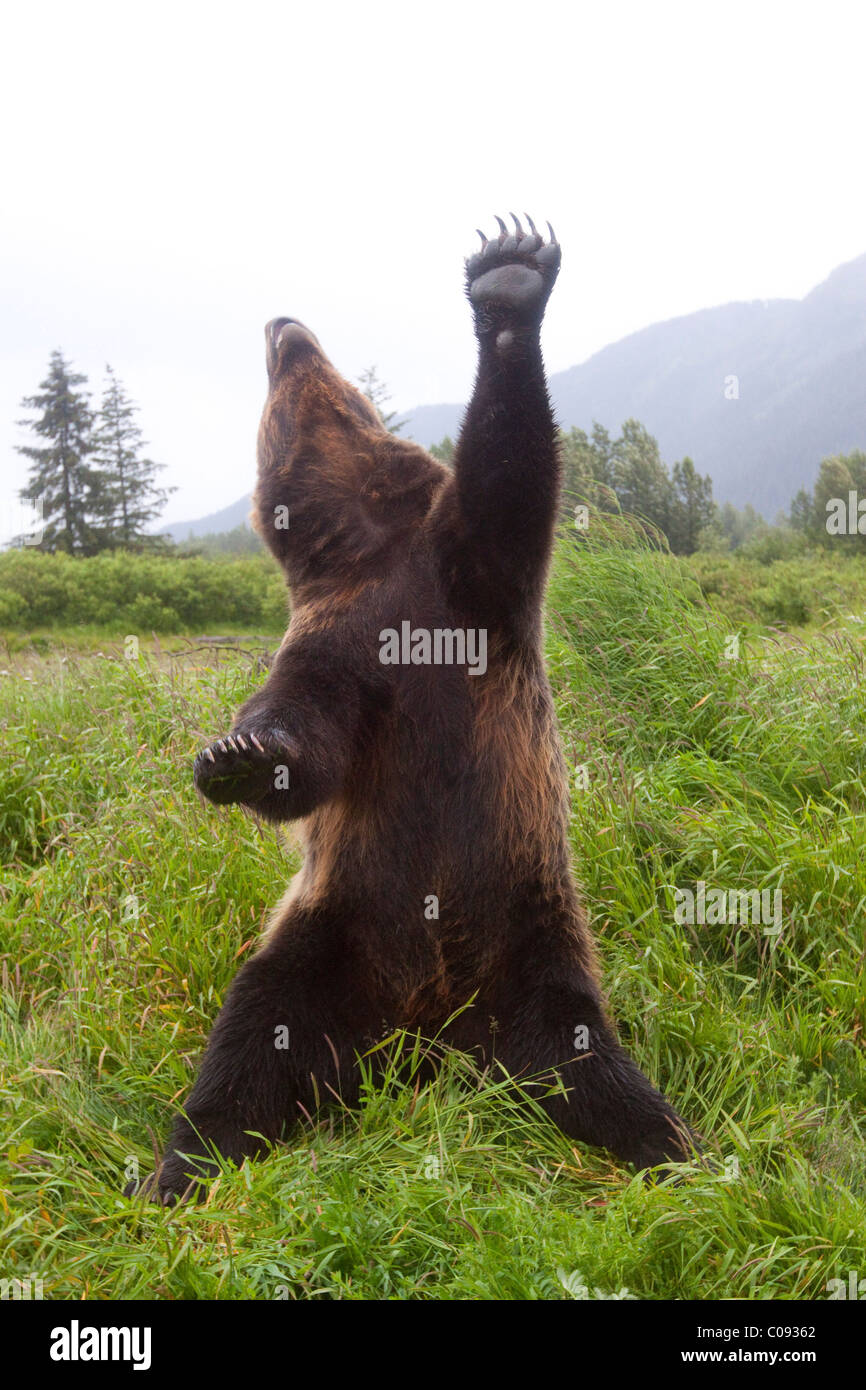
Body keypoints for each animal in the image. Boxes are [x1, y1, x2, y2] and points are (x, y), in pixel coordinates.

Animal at [145, 215, 692, 1203]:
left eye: (301, 364)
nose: (284, 324)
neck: (372, 545)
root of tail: (428, 1034)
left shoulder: (470, 586)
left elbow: (512, 470)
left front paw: (509, 277)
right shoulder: (331, 643)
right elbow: (308, 748)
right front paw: (237, 754)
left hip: (535, 932)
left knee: (591, 1060)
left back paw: (676, 1150)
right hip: (332, 931)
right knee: (248, 1039)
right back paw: (183, 1169)